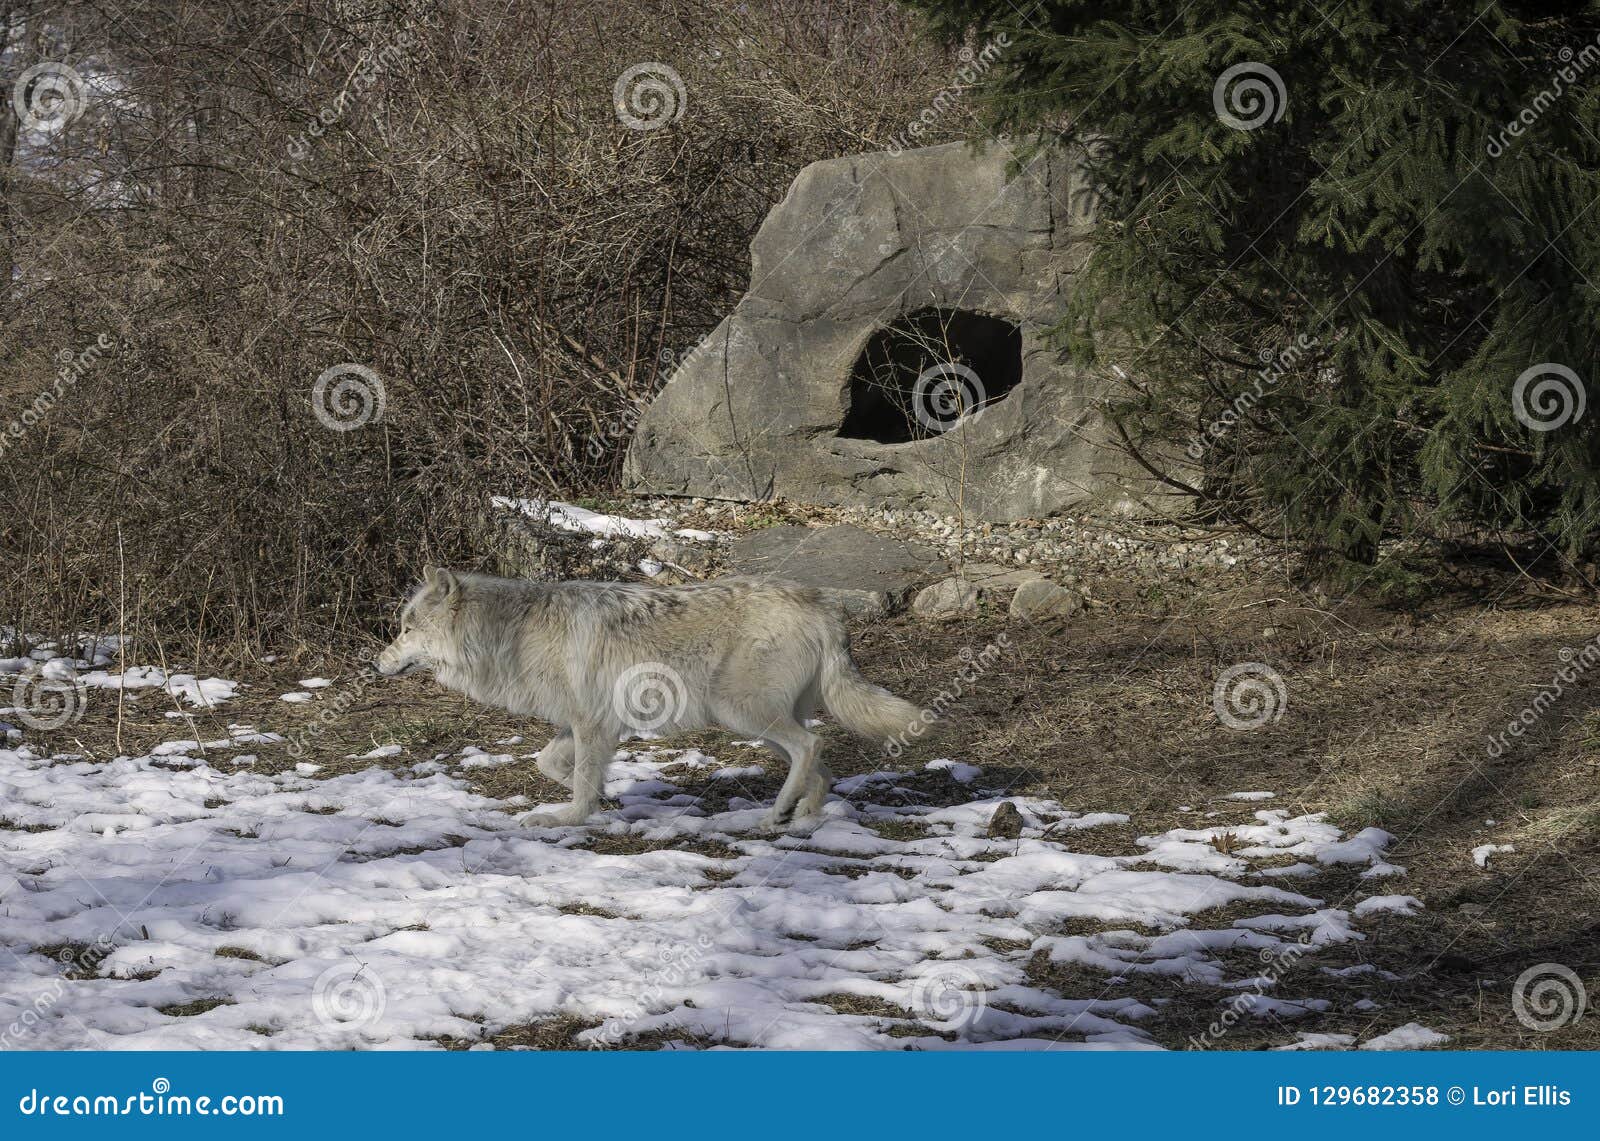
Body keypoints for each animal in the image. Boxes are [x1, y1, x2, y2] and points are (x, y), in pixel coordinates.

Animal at [375, 568, 922, 829]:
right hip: (761, 725)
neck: (510, 635)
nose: (375, 664)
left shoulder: (592, 724)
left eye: (406, 628)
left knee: (812, 747)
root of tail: (823, 606)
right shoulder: (584, 724)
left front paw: (569, 818)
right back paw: (804, 818)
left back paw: (775, 815)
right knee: (819, 760)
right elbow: (550, 765)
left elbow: (575, 781)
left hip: (741, 714)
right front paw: (606, 801)